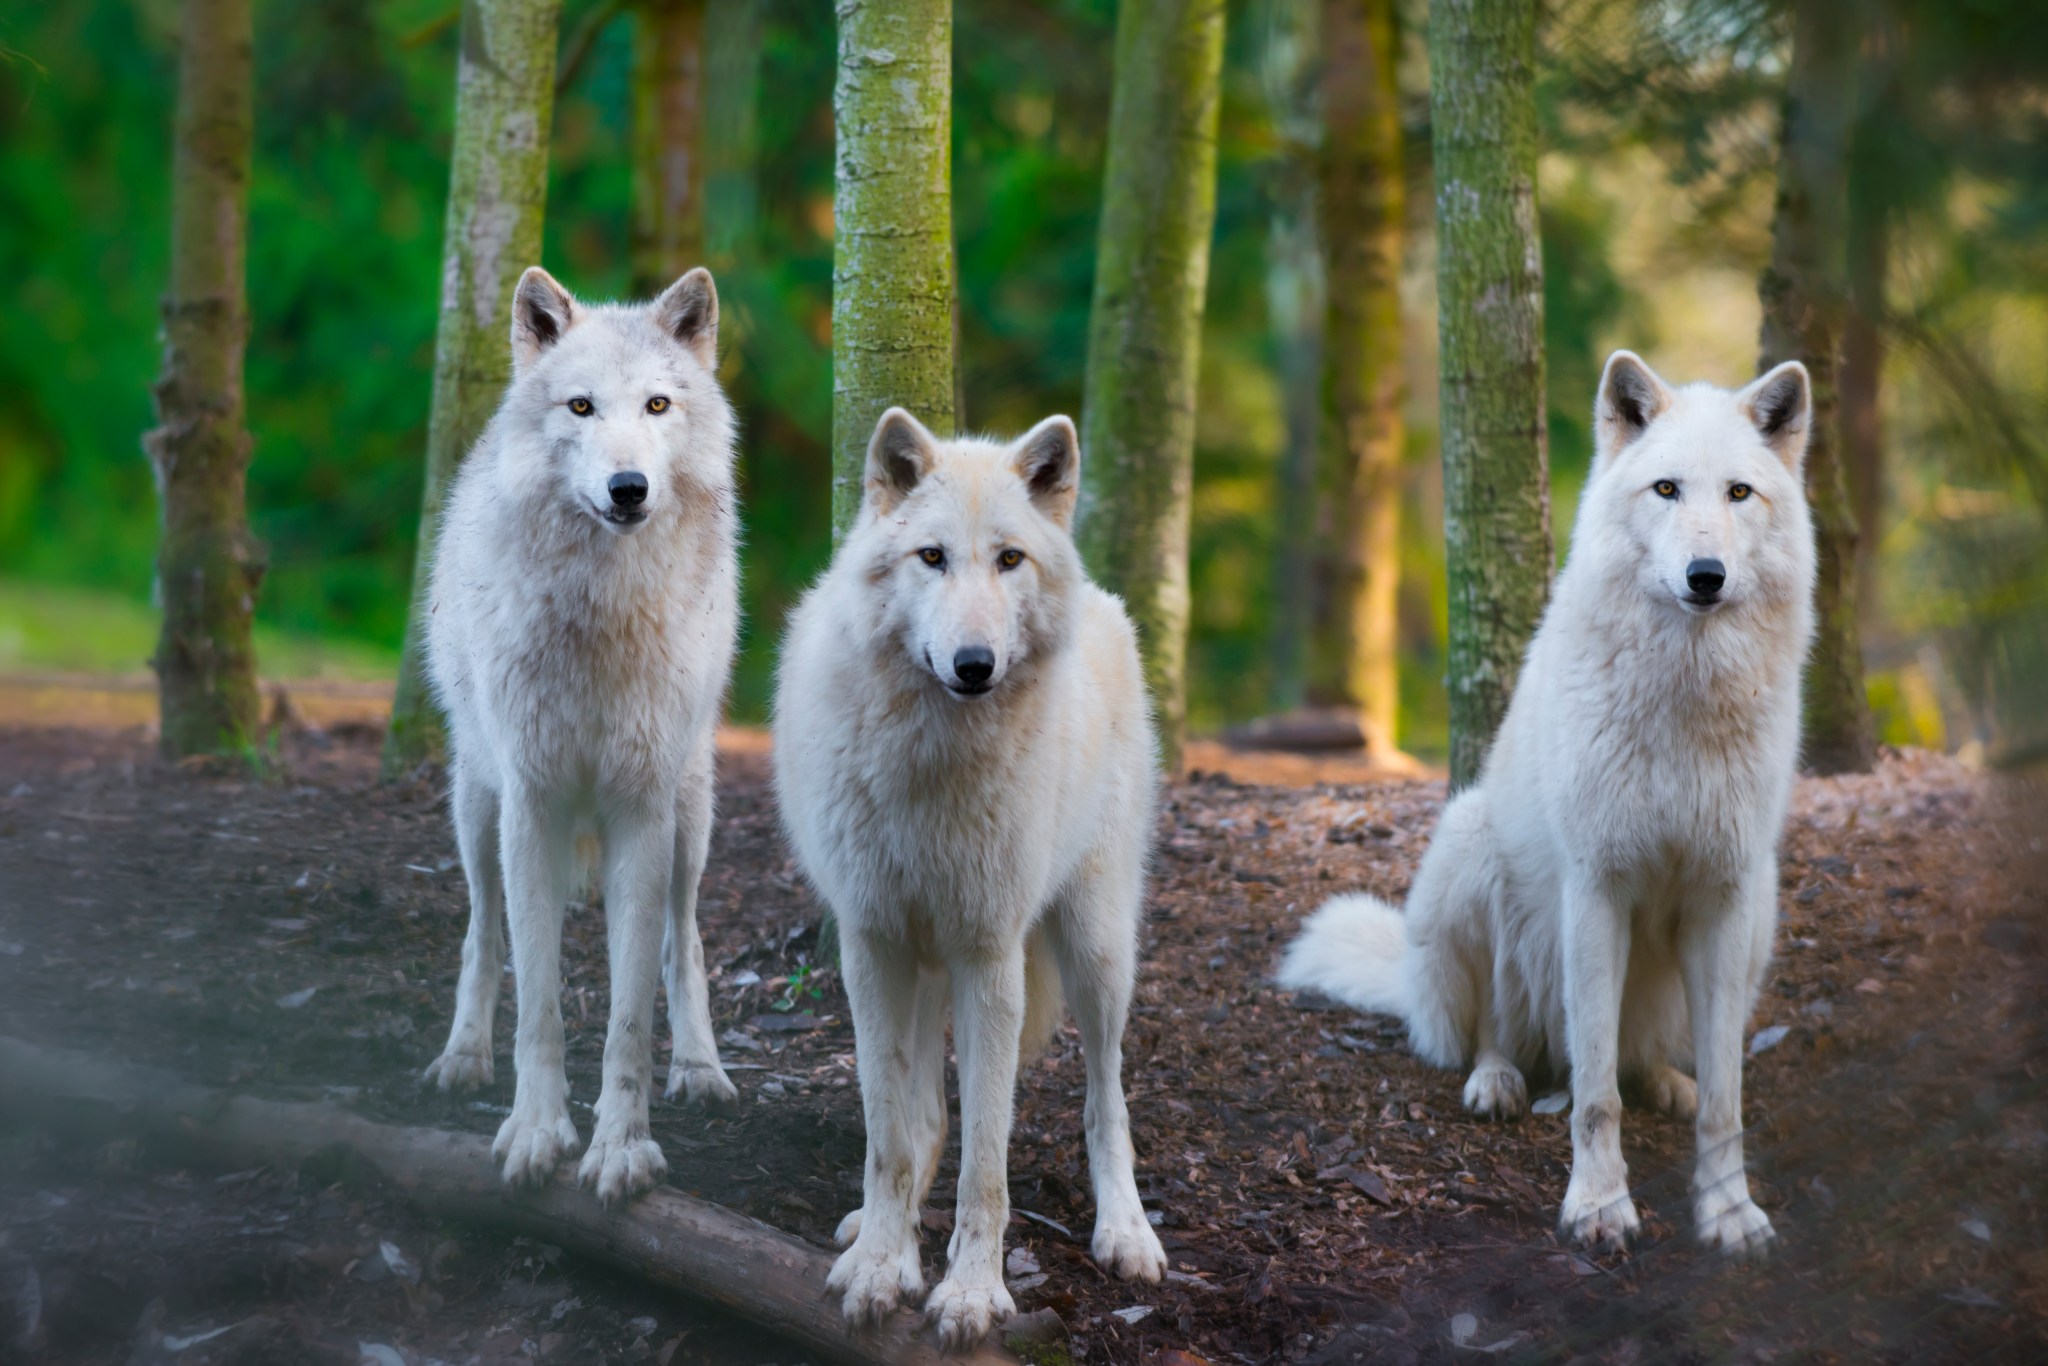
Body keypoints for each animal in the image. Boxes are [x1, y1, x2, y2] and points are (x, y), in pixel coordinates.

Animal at [420, 265, 740, 1207]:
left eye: (659, 405)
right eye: (582, 407)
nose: (628, 487)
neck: (605, 616)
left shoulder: (641, 814)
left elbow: (630, 1014)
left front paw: (621, 1149)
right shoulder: (534, 807)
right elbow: (542, 1003)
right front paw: (535, 1131)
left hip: (691, 821)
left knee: (686, 941)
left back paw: (702, 1069)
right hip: (477, 811)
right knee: (483, 933)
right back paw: (462, 1056)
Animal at [772, 409, 1168, 1347]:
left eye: (1009, 560)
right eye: (933, 557)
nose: (975, 662)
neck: (932, 759)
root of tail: (1106, 603)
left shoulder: (989, 957)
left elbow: (987, 1158)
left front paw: (972, 1294)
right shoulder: (874, 944)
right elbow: (890, 1137)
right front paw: (881, 1267)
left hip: (1096, 948)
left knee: (1107, 1100)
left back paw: (1127, 1232)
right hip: (924, 966)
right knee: (924, 1116)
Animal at [1280, 352, 1817, 1257]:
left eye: (1739, 494)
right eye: (1667, 489)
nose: (1704, 577)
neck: (1683, 698)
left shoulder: (1726, 895)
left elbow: (1726, 1100)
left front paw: (1727, 1212)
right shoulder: (1596, 889)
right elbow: (1596, 1097)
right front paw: (1599, 1208)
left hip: (1762, 916)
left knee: (1646, 1059)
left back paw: (1666, 1080)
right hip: (1474, 857)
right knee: (1500, 1034)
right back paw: (1495, 1082)